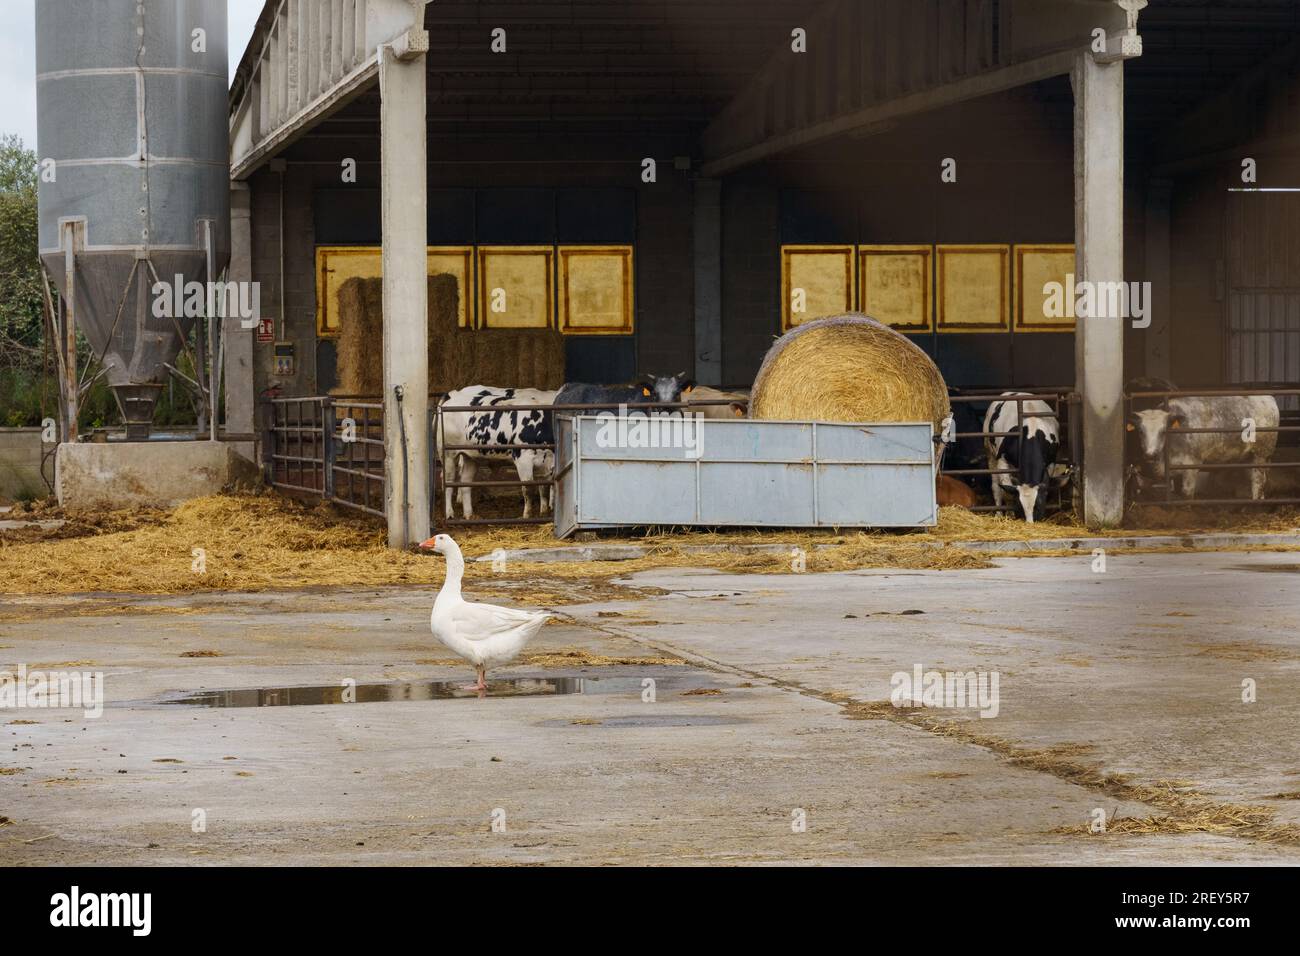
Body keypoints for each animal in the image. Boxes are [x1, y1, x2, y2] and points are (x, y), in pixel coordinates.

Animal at [437, 386, 556, 521]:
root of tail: (452, 396)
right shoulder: (523, 459)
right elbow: (528, 489)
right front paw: (527, 515)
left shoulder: (548, 462)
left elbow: (545, 488)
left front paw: (544, 513)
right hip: (448, 454)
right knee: (448, 481)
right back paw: (449, 513)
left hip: (470, 456)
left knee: (465, 482)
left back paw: (469, 515)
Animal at [983, 393, 1070, 522]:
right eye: (1020, 506)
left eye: (1038, 506)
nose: (1030, 523)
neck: (1032, 431)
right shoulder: (1002, 459)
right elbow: (1007, 490)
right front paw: (1010, 514)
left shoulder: (1050, 462)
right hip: (989, 452)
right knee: (995, 486)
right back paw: (999, 513)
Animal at [1128, 394, 1279, 500]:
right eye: (1140, 431)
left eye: (1163, 431)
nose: (1150, 454)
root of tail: (1268, 398)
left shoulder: (1191, 466)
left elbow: (1187, 495)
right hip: (1251, 457)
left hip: (1261, 453)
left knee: (1258, 481)